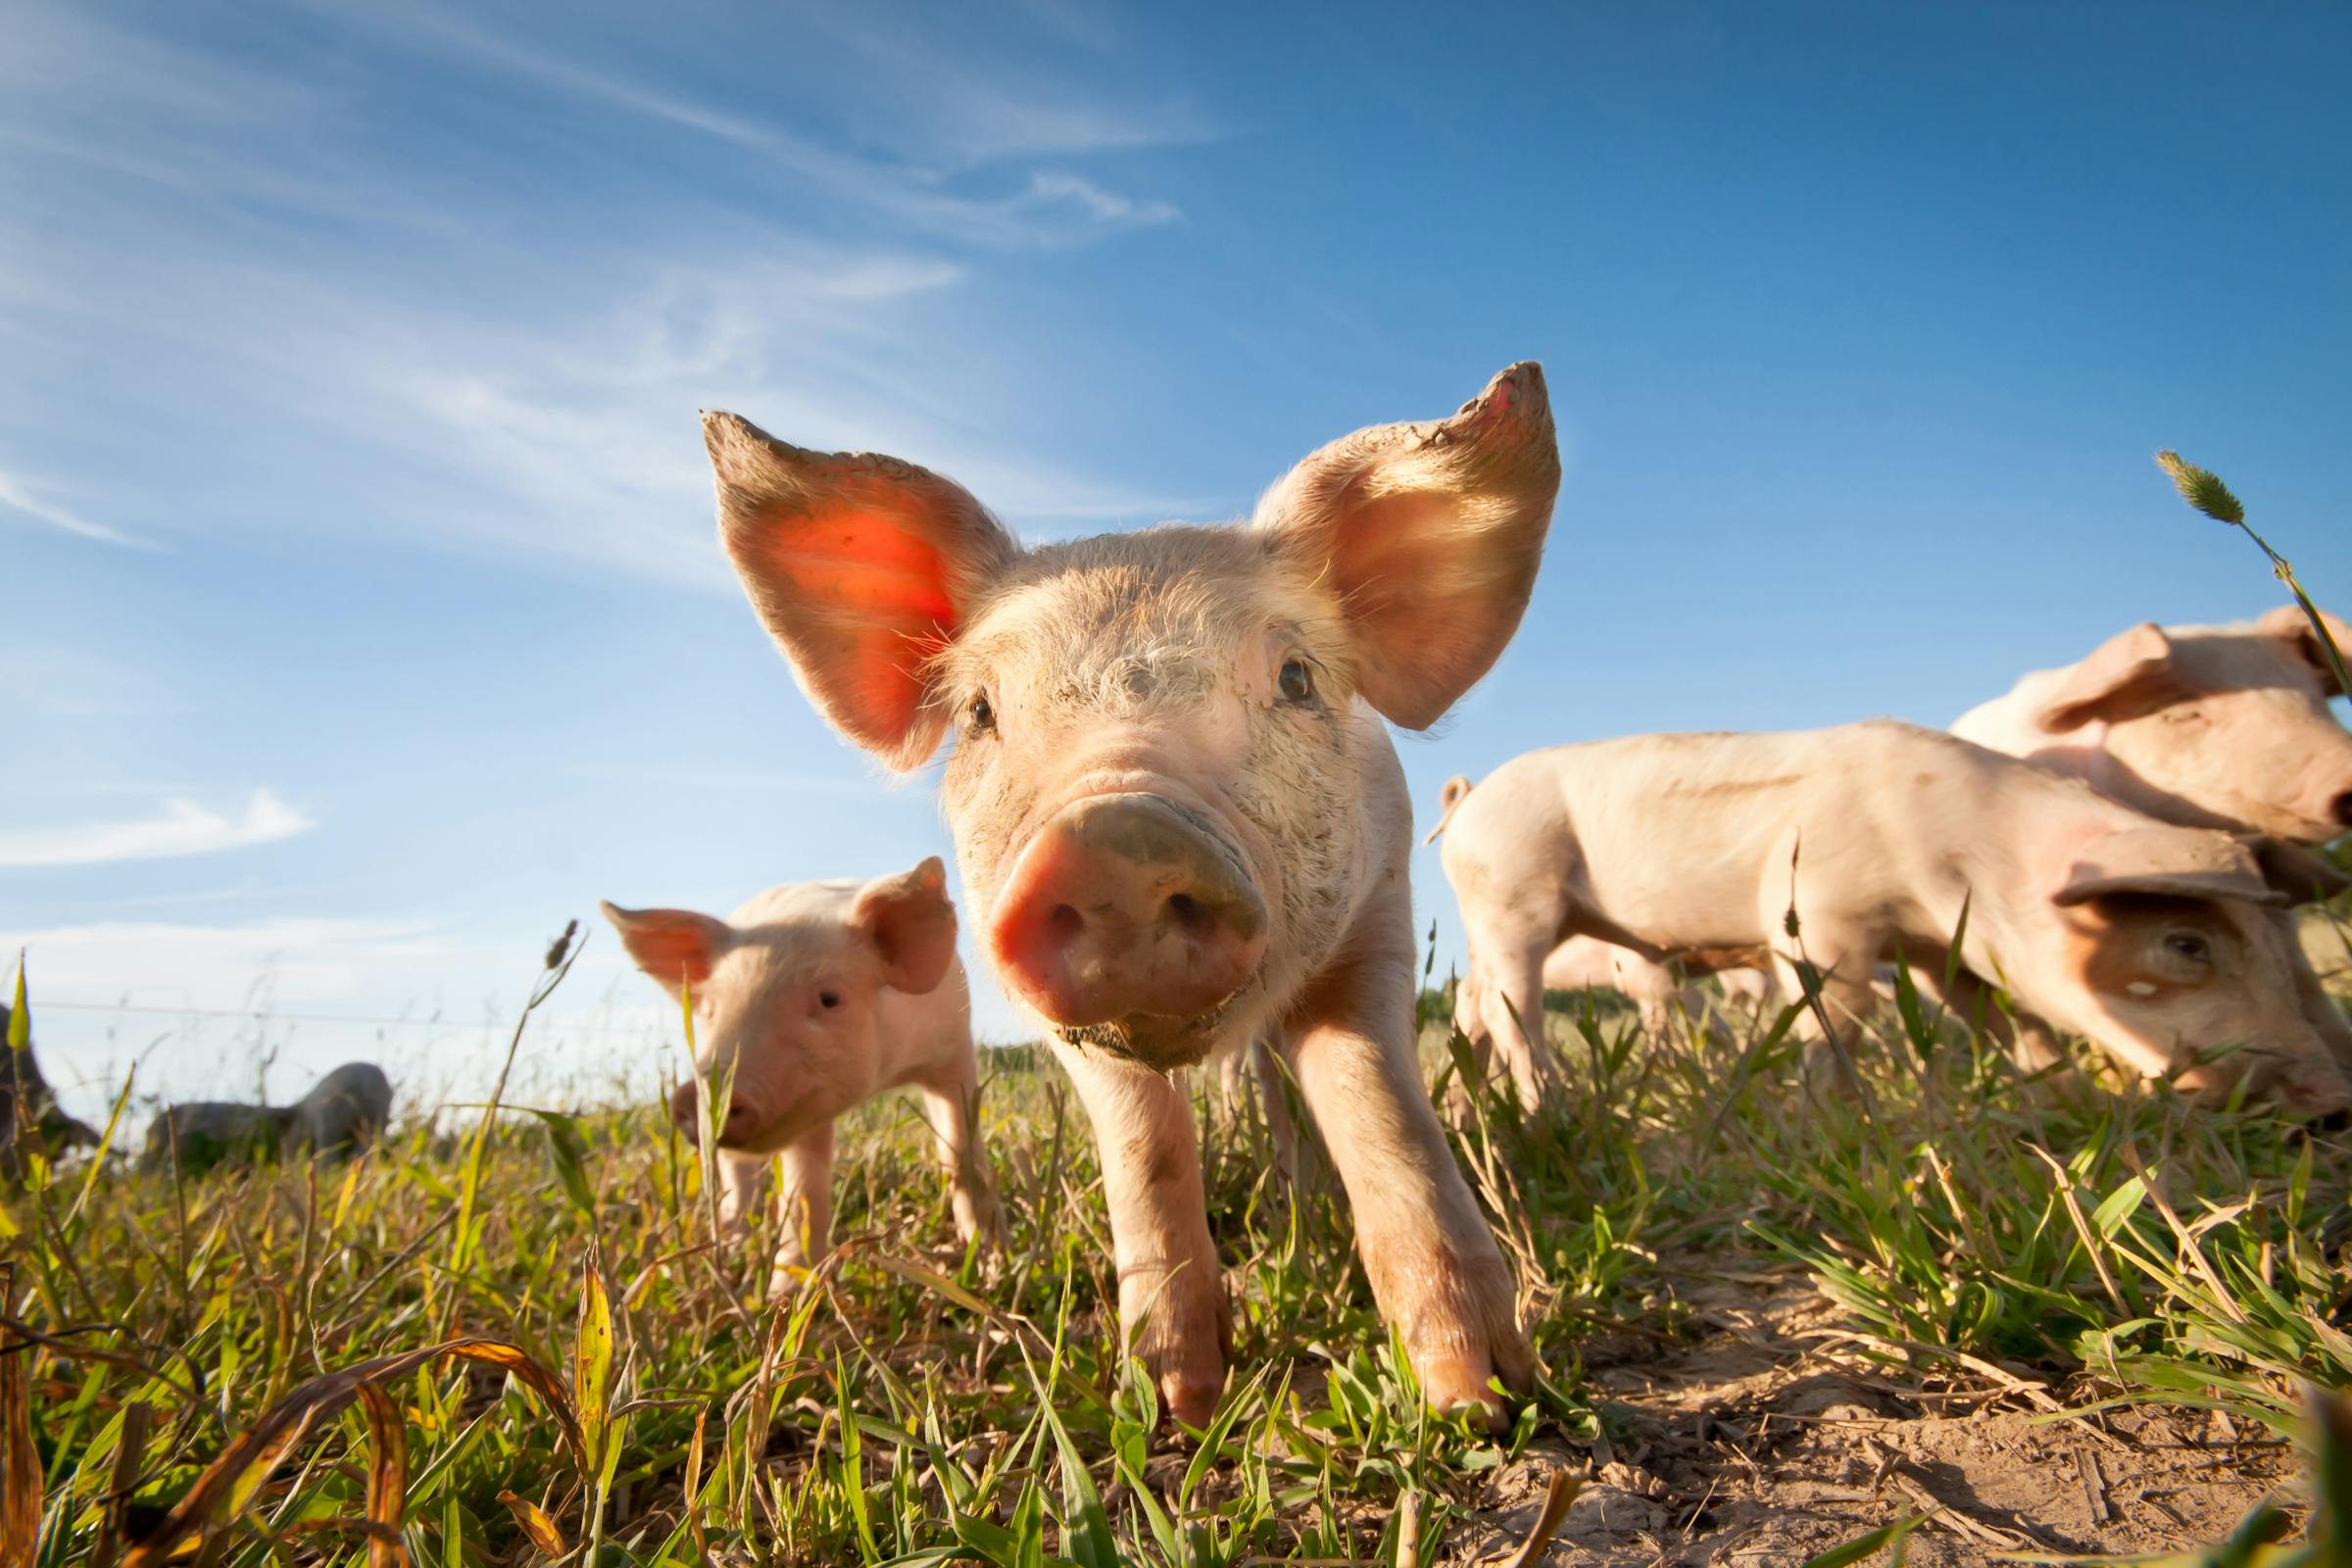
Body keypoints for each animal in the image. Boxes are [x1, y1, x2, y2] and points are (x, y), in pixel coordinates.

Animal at [601, 858, 1003, 1289]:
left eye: (829, 999)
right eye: (709, 1010)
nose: (701, 1093)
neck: (887, 1074)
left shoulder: (953, 1049)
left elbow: (962, 1152)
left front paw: (991, 1257)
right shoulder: (805, 1109)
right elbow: (804, 1192)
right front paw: (787, 1292)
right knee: (736, 1175)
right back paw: (734, 1241)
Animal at [704, 363, 1559, 1427]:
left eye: (1296, 676)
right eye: (980, 711)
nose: (1113, 838)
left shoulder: (1379, 915)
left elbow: (1380, 1104)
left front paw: (1485, 1397)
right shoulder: (1049, 1014)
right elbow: (1144, 1145)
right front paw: (1174, 1400)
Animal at [1437, 721, 2352, 1117]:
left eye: (2279, 952)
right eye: (2184, 943)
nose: (2332, 1097)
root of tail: (1470, 796)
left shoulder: (1938, 951)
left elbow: (2005, 1020)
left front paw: (2060, 1097)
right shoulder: (1818, 915)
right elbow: (1837, 1014)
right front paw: (1831, 1115)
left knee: (1470, 1006)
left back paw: (1475, 1098)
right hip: (1513, 893)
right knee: (1514, 1008)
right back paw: (1544, 1110)